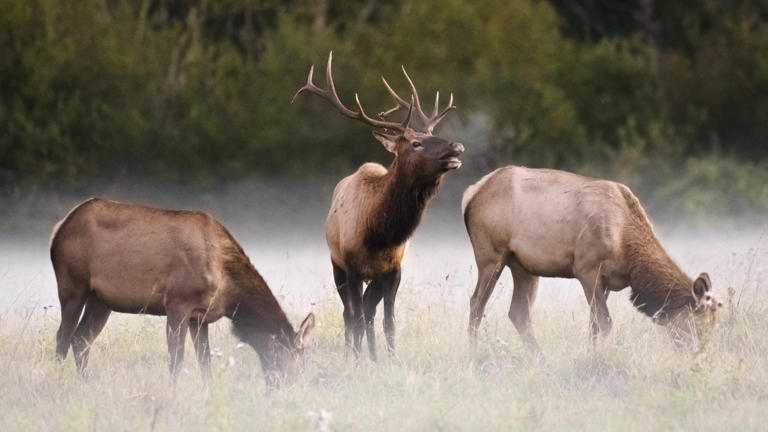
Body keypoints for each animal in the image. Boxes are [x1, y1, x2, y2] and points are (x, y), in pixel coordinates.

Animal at [50, 198, 315, 388]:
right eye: (296, 361)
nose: (293, 389)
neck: (228, 290)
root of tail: (59, 228)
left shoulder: (200, 317)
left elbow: (205, 362)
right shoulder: (177, 302)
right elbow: (176, 360)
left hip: (101, 300)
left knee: (81, 338)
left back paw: (90, 385)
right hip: (72, 285)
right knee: (63, 336)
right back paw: (59, 384)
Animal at [292, 52, 464, 360]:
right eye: (416, 143)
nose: (456, 146)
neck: (378, 235)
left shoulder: (394, 270)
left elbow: (388, 321)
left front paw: (389, 359)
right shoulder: (350, 266)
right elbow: (356, 317)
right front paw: (356, 359)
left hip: (375, 279)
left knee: (369, 311)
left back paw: (372, 355)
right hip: (336, 265)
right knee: (350, 313)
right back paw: (354, 352)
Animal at [462, 166, 722, 356]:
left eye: (713, 326)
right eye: (698, 326)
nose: (699, 355)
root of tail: (471, 193)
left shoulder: (605, 281)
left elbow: (593, 325)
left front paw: (592, 356)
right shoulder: (586, 268)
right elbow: (604, 322)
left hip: (523, 266)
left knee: (519, 312)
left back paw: (541, 359)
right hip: (491, 255)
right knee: (476, 303)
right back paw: (473, 356)